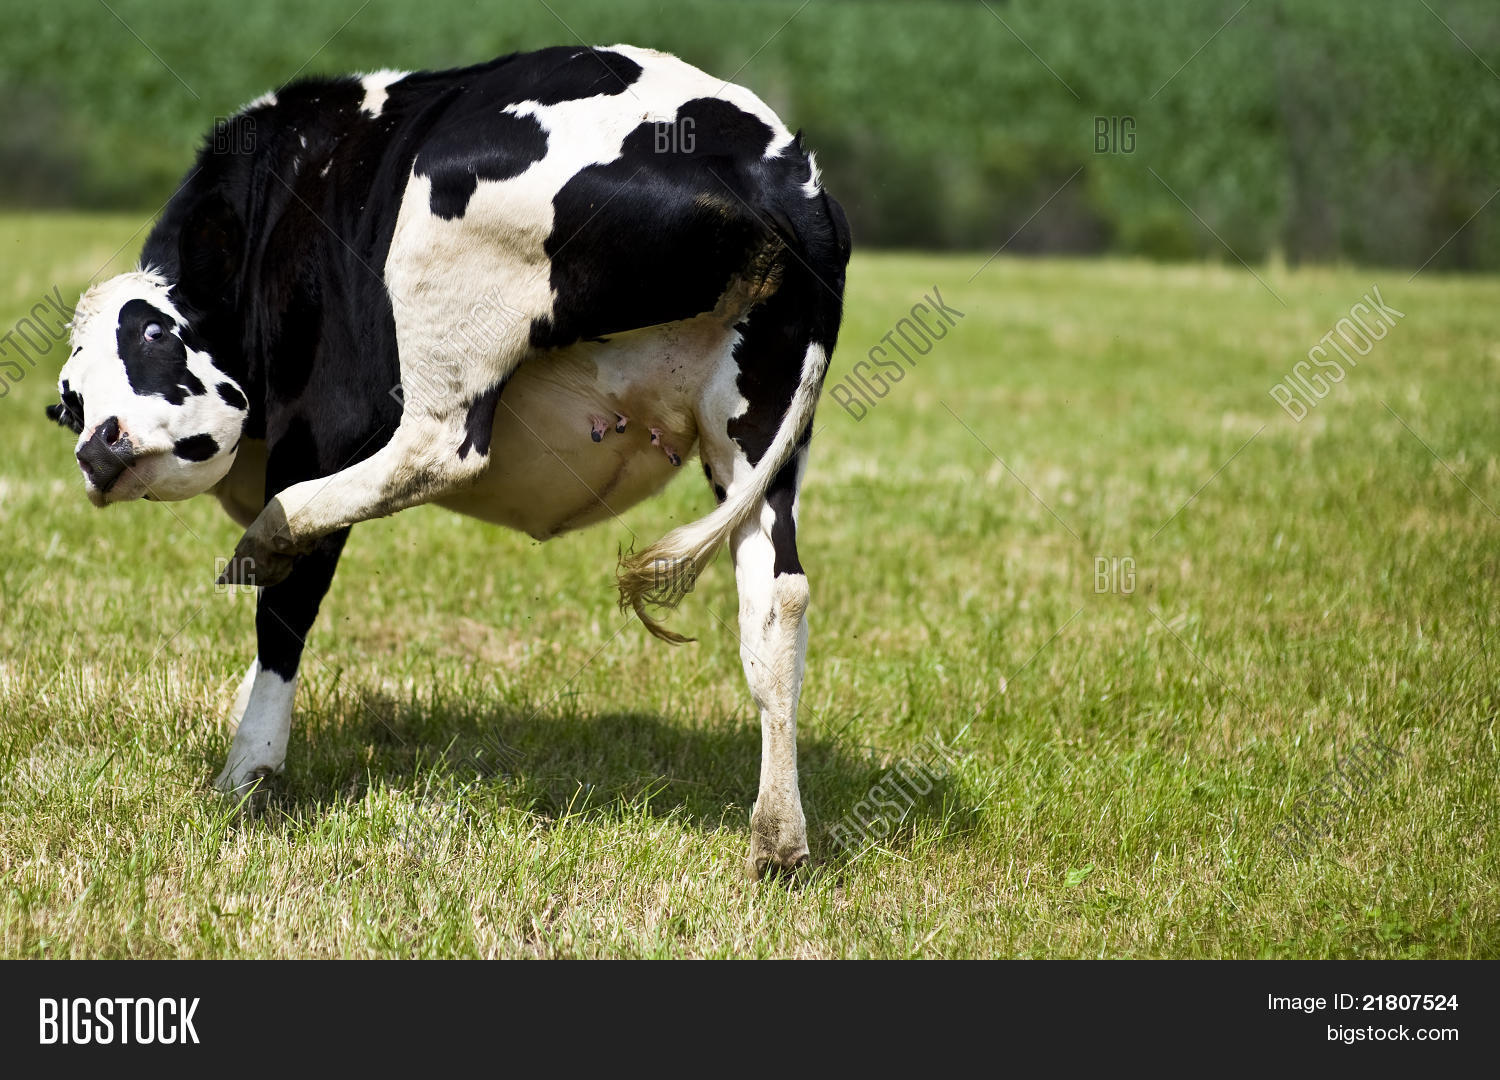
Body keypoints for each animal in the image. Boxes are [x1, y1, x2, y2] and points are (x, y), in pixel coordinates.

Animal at [47, 45, 850, 877]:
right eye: (69, 403)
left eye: (153, 334)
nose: (99, 444)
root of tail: (774, 168)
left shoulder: (321, 425)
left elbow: (287, 609)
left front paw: (249, 769)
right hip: (757, 436)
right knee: (778, 598)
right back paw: (778, 836)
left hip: (442, 271)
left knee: (438, 449)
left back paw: (269, 534)